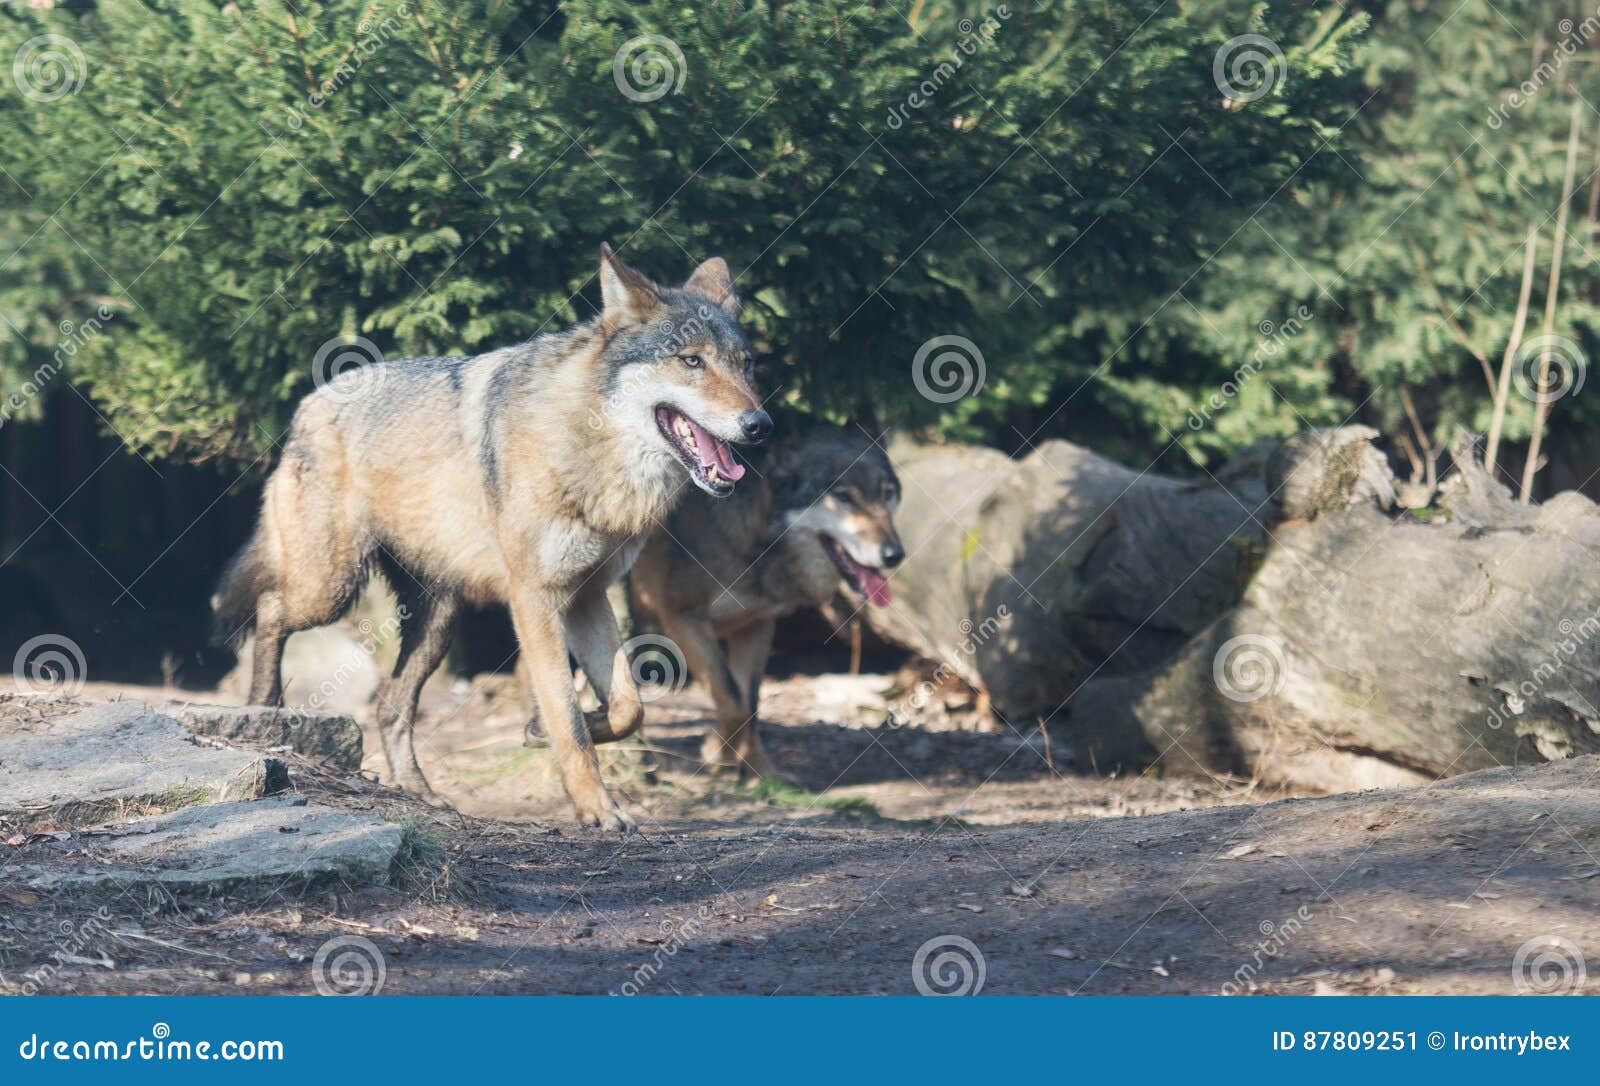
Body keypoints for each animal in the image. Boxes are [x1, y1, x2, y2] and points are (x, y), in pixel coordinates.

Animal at [213, 245, 770, 831]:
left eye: (747, 365)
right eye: (692, 361)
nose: (761, 424)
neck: (589, 449)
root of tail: (311, 400)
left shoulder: (589, 597)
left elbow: (627, 708)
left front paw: (542, 732)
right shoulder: (535, 600)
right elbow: (568, 716)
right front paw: (596, 808)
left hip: (437, 622)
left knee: (390, 705)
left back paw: (419, 792)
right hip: (330, 589)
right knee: (270, 609)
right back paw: (264, 705)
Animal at [626, 415, 903, 777]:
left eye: (887, 493)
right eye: (844, 497)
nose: (894, 555)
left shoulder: (756, 625)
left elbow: (751, 703)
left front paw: (759, 768)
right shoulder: (683, 618)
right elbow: (731, 698)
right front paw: (718, 756)